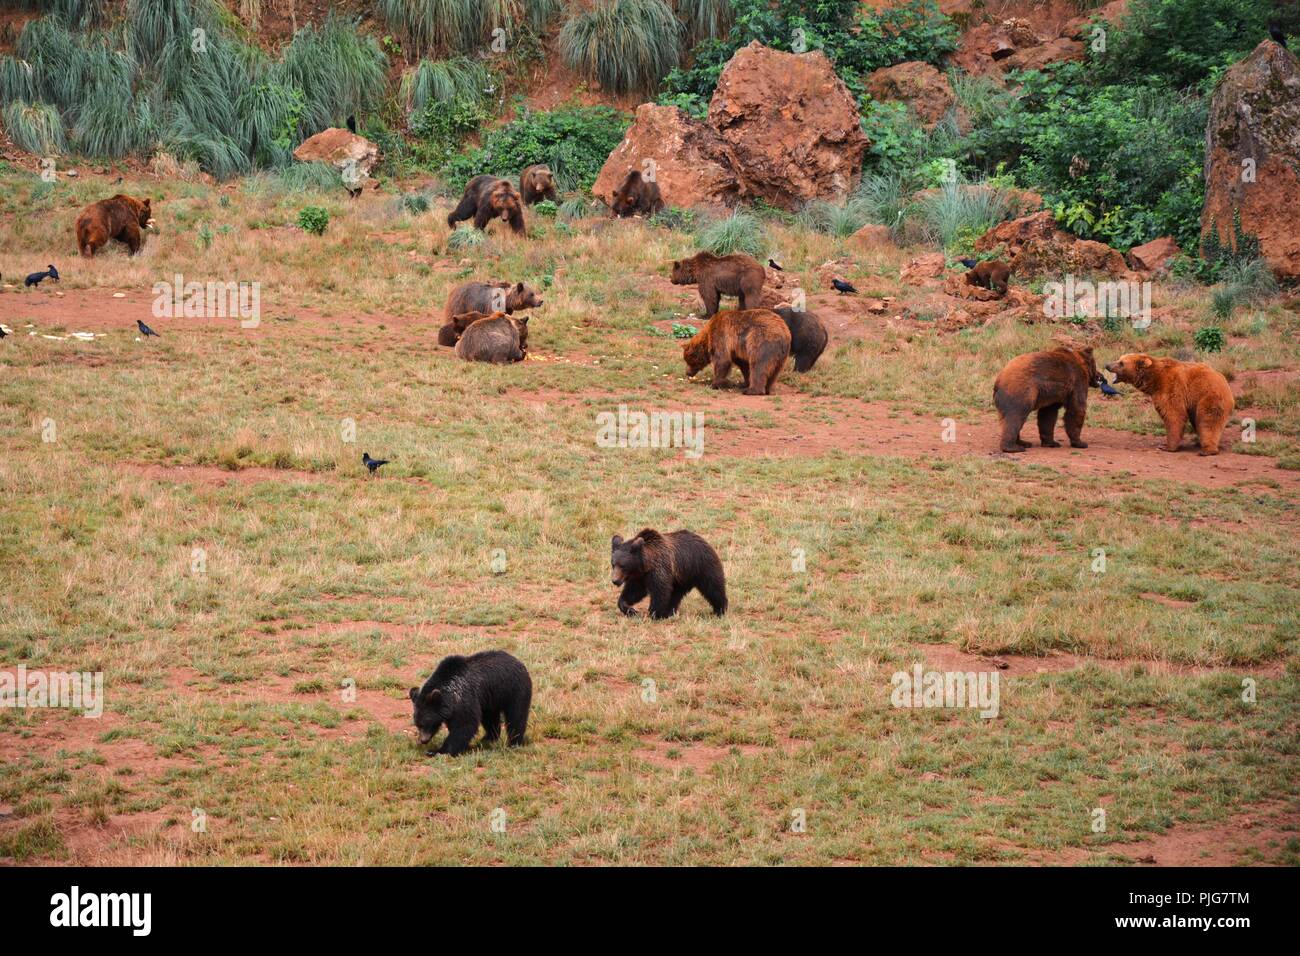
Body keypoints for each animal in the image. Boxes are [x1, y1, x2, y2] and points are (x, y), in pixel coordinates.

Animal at [1105, 353, 1235, 455]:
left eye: (1121, 363)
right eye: (1119, 358)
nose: (1107, 365)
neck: (1154, 380)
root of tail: (1226, 384)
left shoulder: (1171, 387)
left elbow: (1174, 414)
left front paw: (1167, 446)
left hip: (1209, 395)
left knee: (1208, 421)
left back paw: (1207, 449)